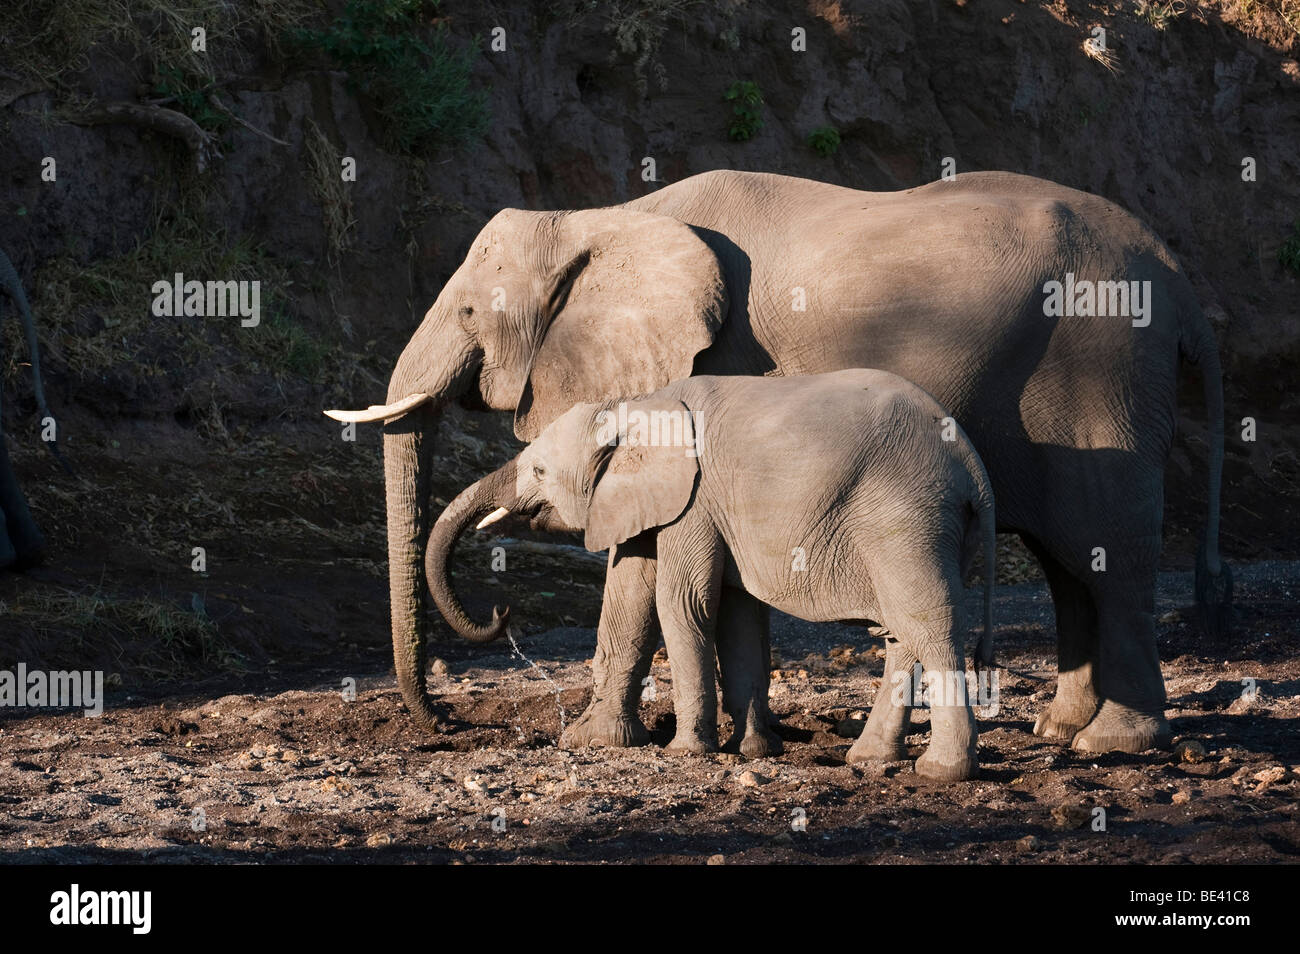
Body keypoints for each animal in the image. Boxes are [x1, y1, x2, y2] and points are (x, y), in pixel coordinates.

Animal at [423, 369, 997, 781]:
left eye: (540, 471)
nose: (501, 609)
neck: (635, 403)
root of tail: (974, 467)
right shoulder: (671, 501)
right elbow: (706, 609)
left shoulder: (694, 502)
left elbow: (682, 603)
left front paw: (685, 751)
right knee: (902, 633)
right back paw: (869, 759)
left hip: (907, 517)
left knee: (929, 625)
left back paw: (940, 772)